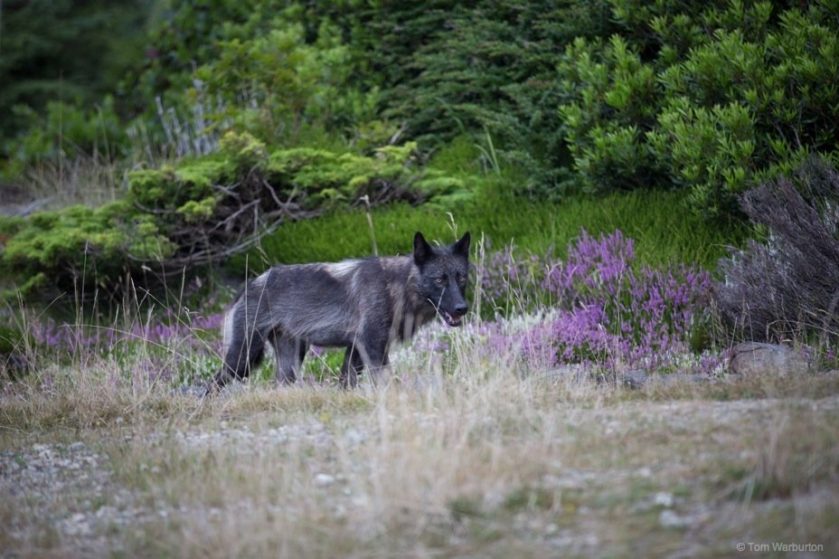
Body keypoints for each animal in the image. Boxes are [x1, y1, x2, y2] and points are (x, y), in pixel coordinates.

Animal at [209, 231, 470, 391]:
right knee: (212, 384)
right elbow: (384, 381)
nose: (462, 308)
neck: (396, 286)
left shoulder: (356, 349)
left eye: (461, 278)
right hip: (242, 359)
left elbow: (346, 383)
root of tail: (248, 286)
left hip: (289, 362)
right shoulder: (372, 347)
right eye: (440, 280)